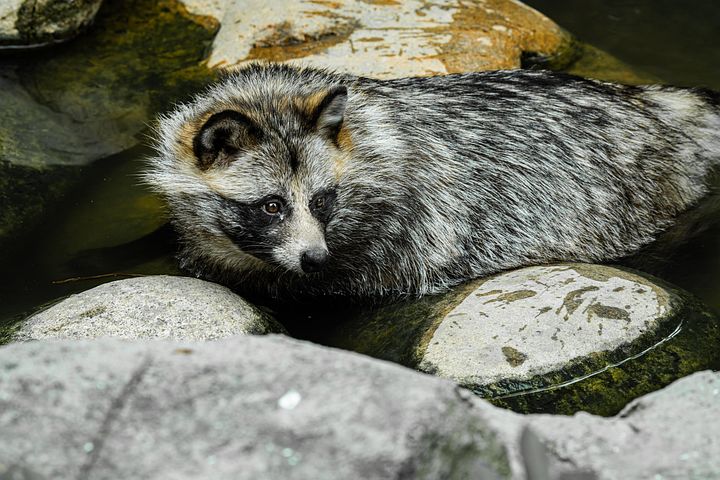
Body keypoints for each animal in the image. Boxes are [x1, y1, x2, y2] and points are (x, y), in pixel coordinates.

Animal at [145, 62, 720, 298]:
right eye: (271, 205)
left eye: (324, 200)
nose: (315, 259)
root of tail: (650, 104)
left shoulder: (391, 243)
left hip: (636, 195)